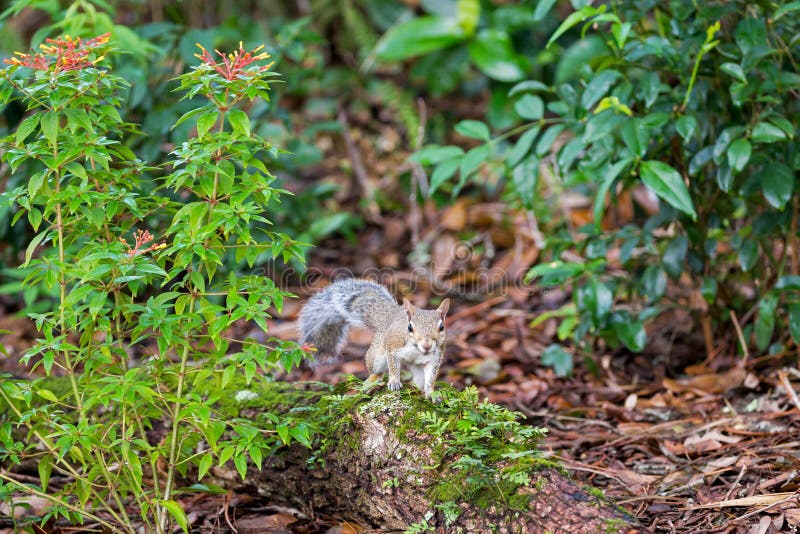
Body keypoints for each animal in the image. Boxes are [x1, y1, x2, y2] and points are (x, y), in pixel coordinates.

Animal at [298, 278, 450, 398]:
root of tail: (389, 317)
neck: (416, 349)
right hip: (377, 356)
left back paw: (416, 388)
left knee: (419, 379)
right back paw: (373, 379)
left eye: (442, 327)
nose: (427, 346)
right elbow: (393, 366)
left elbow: (431, 377)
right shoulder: (393, 346)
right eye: (410, 328)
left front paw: (431, 393)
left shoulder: (436, 356)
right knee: (377, 370)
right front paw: (394, 381)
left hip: (416, 366)